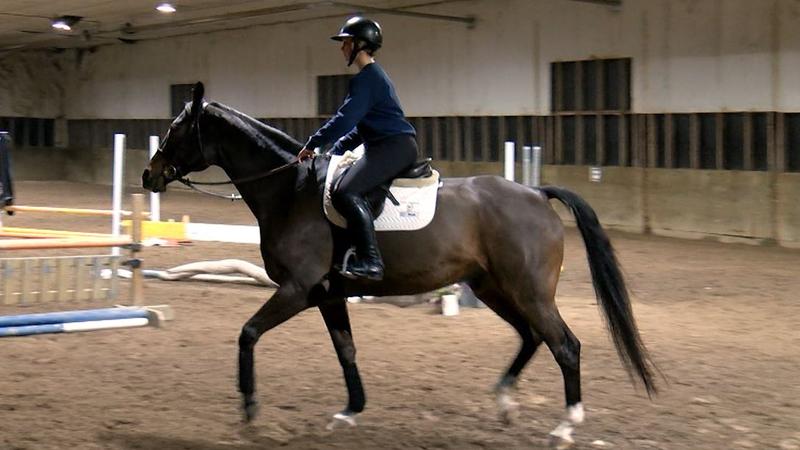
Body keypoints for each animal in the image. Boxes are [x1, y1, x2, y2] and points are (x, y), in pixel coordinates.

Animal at [142, 82, 657, 447]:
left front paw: (250, 408)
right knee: (531, 337)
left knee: (564, 345)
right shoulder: (327, 295)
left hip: (529, 291)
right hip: (492, 288)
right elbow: (346, 351)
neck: (291, 190)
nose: (149, 175)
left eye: (176, 130)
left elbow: (248, 333)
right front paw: (349, 412)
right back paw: (504, 402)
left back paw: (564, 427)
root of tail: (535, 192)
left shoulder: (296, 290)